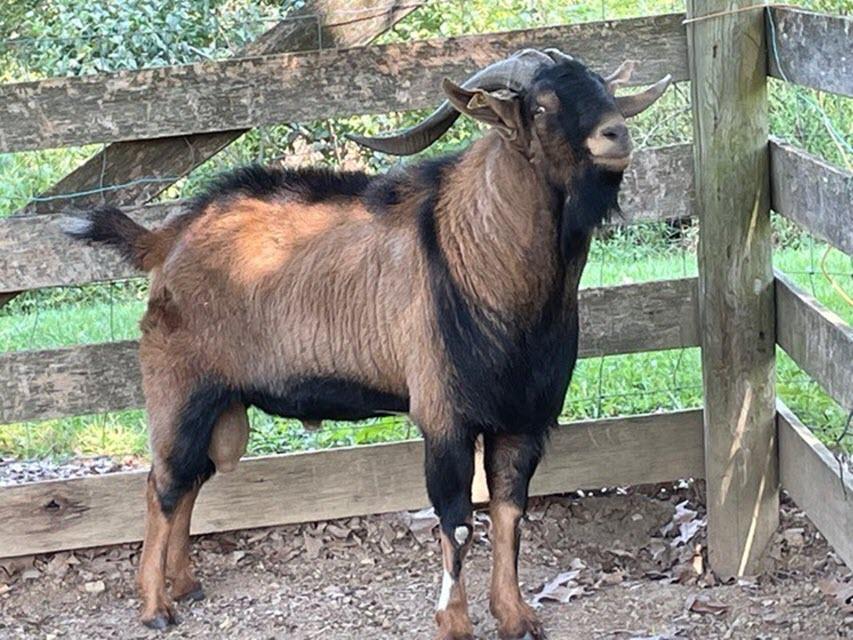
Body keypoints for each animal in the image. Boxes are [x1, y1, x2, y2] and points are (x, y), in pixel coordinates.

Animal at [63, 49, 669, 639]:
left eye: (604, 90)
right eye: (541, 106)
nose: (616, 135)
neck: (478, 253)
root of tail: (166, 239)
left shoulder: (524, 419)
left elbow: (509, 513)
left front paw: (516, 616)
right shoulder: (444, 416)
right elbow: (458, 522)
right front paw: (454, 623)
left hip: (221, 405)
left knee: (189, 482)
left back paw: (185, 585)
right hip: (180, 389)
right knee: (162, 485)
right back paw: (155, 606)